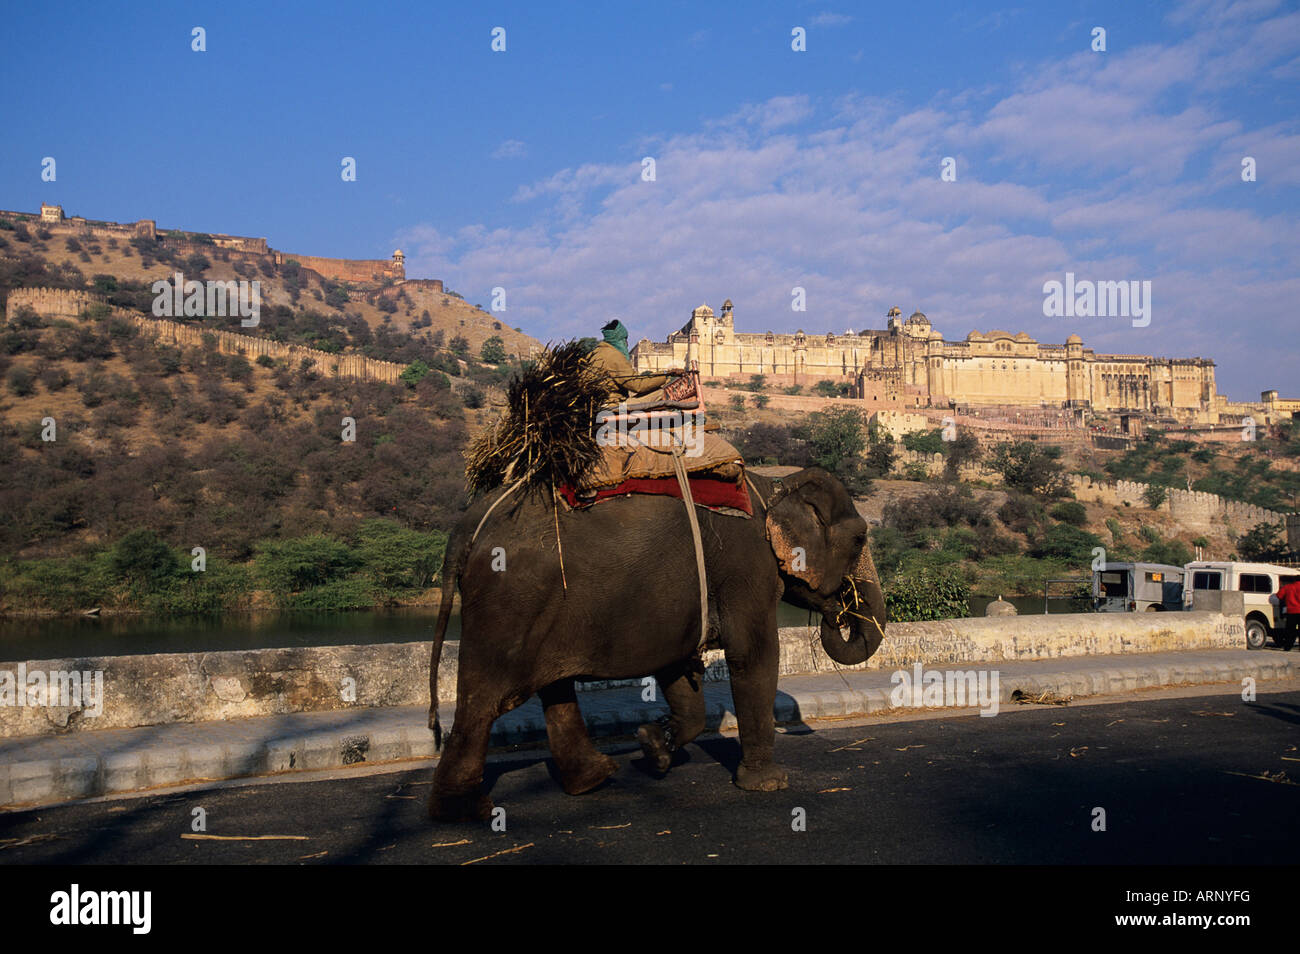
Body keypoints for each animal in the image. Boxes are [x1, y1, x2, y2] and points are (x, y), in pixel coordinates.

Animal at [426, 466, 886, 822]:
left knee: (554, 688)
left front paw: (653, 747)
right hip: (509, 602)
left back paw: (594, 779)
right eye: (860, 539)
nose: (838, 612)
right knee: (484, 699)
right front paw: (768, 784)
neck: (772, 485)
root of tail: (466, 527)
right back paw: (465, 811)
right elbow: (753, 654)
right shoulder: (745, 566)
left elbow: (678, 668)